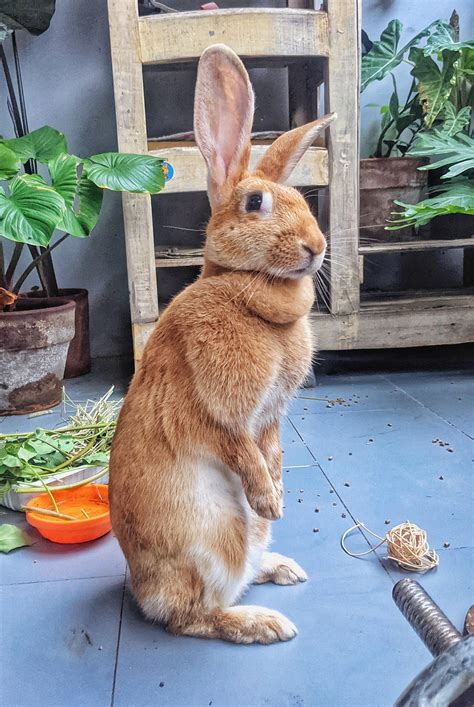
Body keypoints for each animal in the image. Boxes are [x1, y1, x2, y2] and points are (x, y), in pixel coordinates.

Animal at [109, 43, 335, 645]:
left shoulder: (272, 415)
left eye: (302, 198)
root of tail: (141, 591)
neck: (250, 295)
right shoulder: (214, 412)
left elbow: (270, 449)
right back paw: (266, 623)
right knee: (193, 618)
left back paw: (284, 569)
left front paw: (278, 493)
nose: (317, 246)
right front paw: (270, 500)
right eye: (255, 202)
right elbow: (238, 449)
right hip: (214, 544)